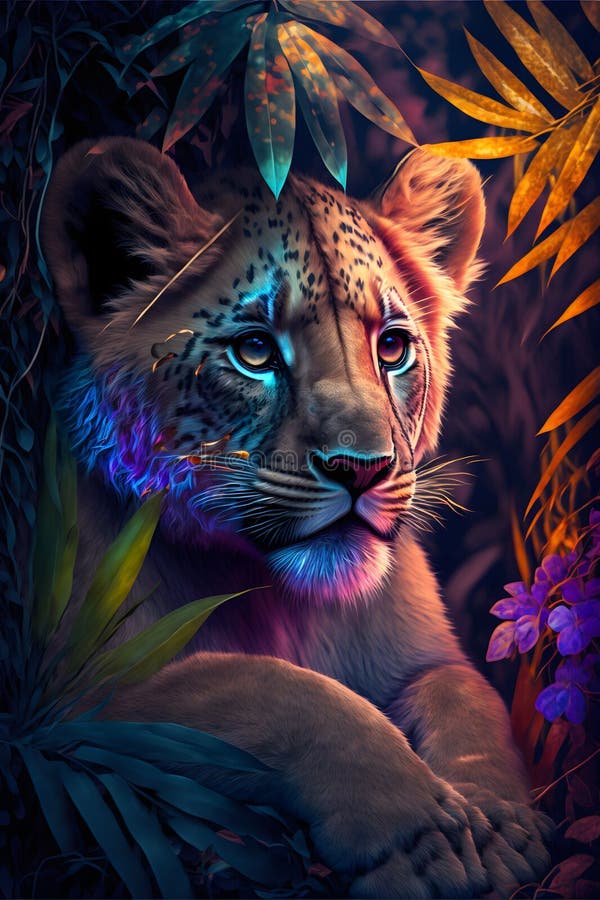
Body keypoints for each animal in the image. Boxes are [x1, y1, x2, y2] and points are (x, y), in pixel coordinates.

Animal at [41, 137, 553, 898]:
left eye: (392, 346)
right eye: (254, 350)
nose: (360, 468)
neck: (287, 600)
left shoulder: (425, 657)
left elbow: (468, 698)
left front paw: (504, 826)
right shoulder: (81, 695)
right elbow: (277, 692)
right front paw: (422, 840)